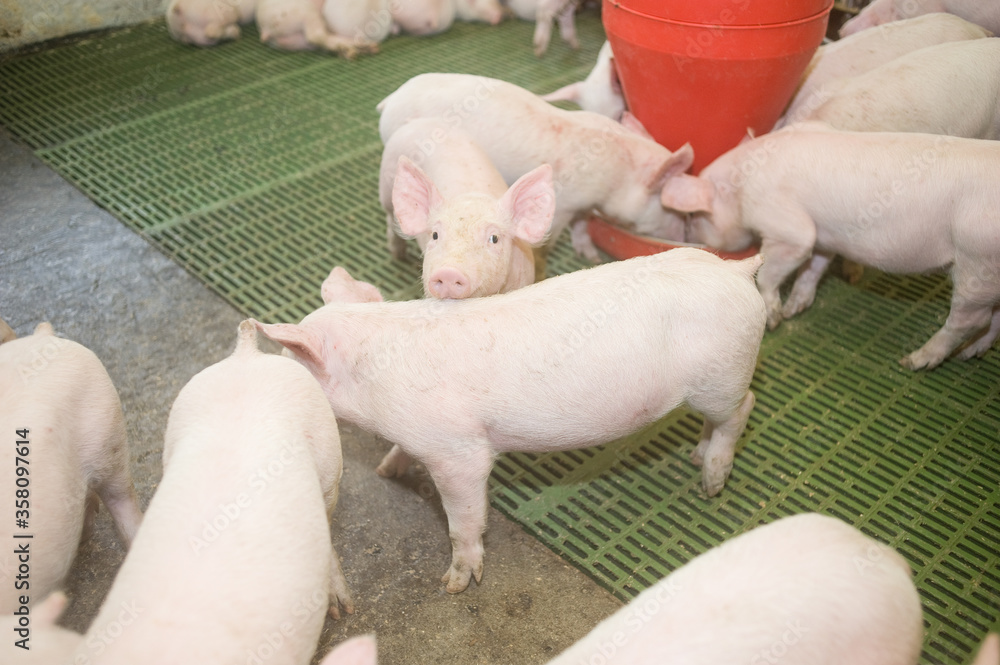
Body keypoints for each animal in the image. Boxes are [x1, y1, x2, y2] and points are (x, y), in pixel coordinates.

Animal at [252, 249, 767, 593]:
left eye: (291, 366)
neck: (372, 379)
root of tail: (737, 269)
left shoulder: (458, 452)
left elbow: (463, 519)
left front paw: (454, 584)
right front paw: (385, 470)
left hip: (721, 377)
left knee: (744, 406)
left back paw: (711, 482)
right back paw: (697, 456)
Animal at [377, 73, 691, 276]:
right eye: (671, 209)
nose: (685, 237)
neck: (616, 176)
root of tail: (389, 100)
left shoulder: (582, 205)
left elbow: (582, 227)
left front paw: (589, 256)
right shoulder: (563, 205)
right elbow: (549, 243)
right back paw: (398, 255)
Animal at [380, 117, 555, 298]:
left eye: (494, 238)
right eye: (435, 235)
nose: (448, 272)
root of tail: (417, 123)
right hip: (386, 185)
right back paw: (398, 255)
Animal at [660, 123, 1000, 370]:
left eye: (693, 218)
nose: (689, 237)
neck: (741, 183)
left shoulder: (790, 228)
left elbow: (775, 271)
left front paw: (776, 319)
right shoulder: (827, 236)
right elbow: (813, 270)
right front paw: (795, 309)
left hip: (977, 260)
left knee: (971, 319)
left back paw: (914, 361)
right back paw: (971, 354)